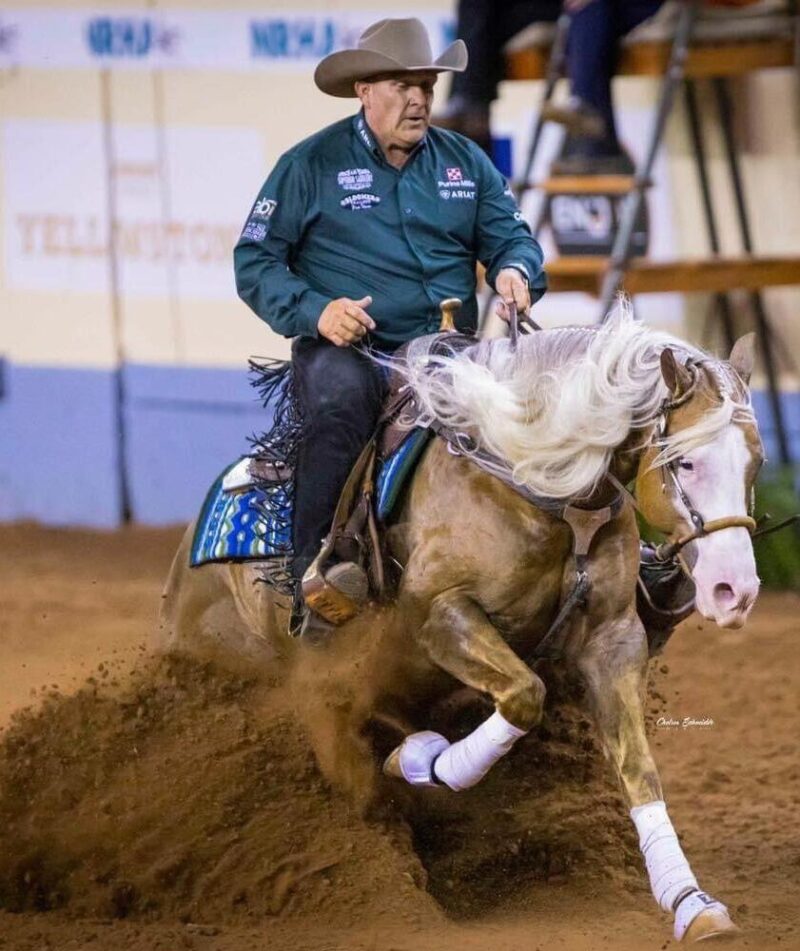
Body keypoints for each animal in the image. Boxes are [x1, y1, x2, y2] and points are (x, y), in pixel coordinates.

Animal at [159, 309, 763, 943]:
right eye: (685, 461)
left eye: (757, 462)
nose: (735, 589)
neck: (534, 480)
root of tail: (186, 560)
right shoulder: (441, 617)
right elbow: (524, 694)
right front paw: (425, 764)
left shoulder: (612, 639)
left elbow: (638, 769)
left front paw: (692, 903)